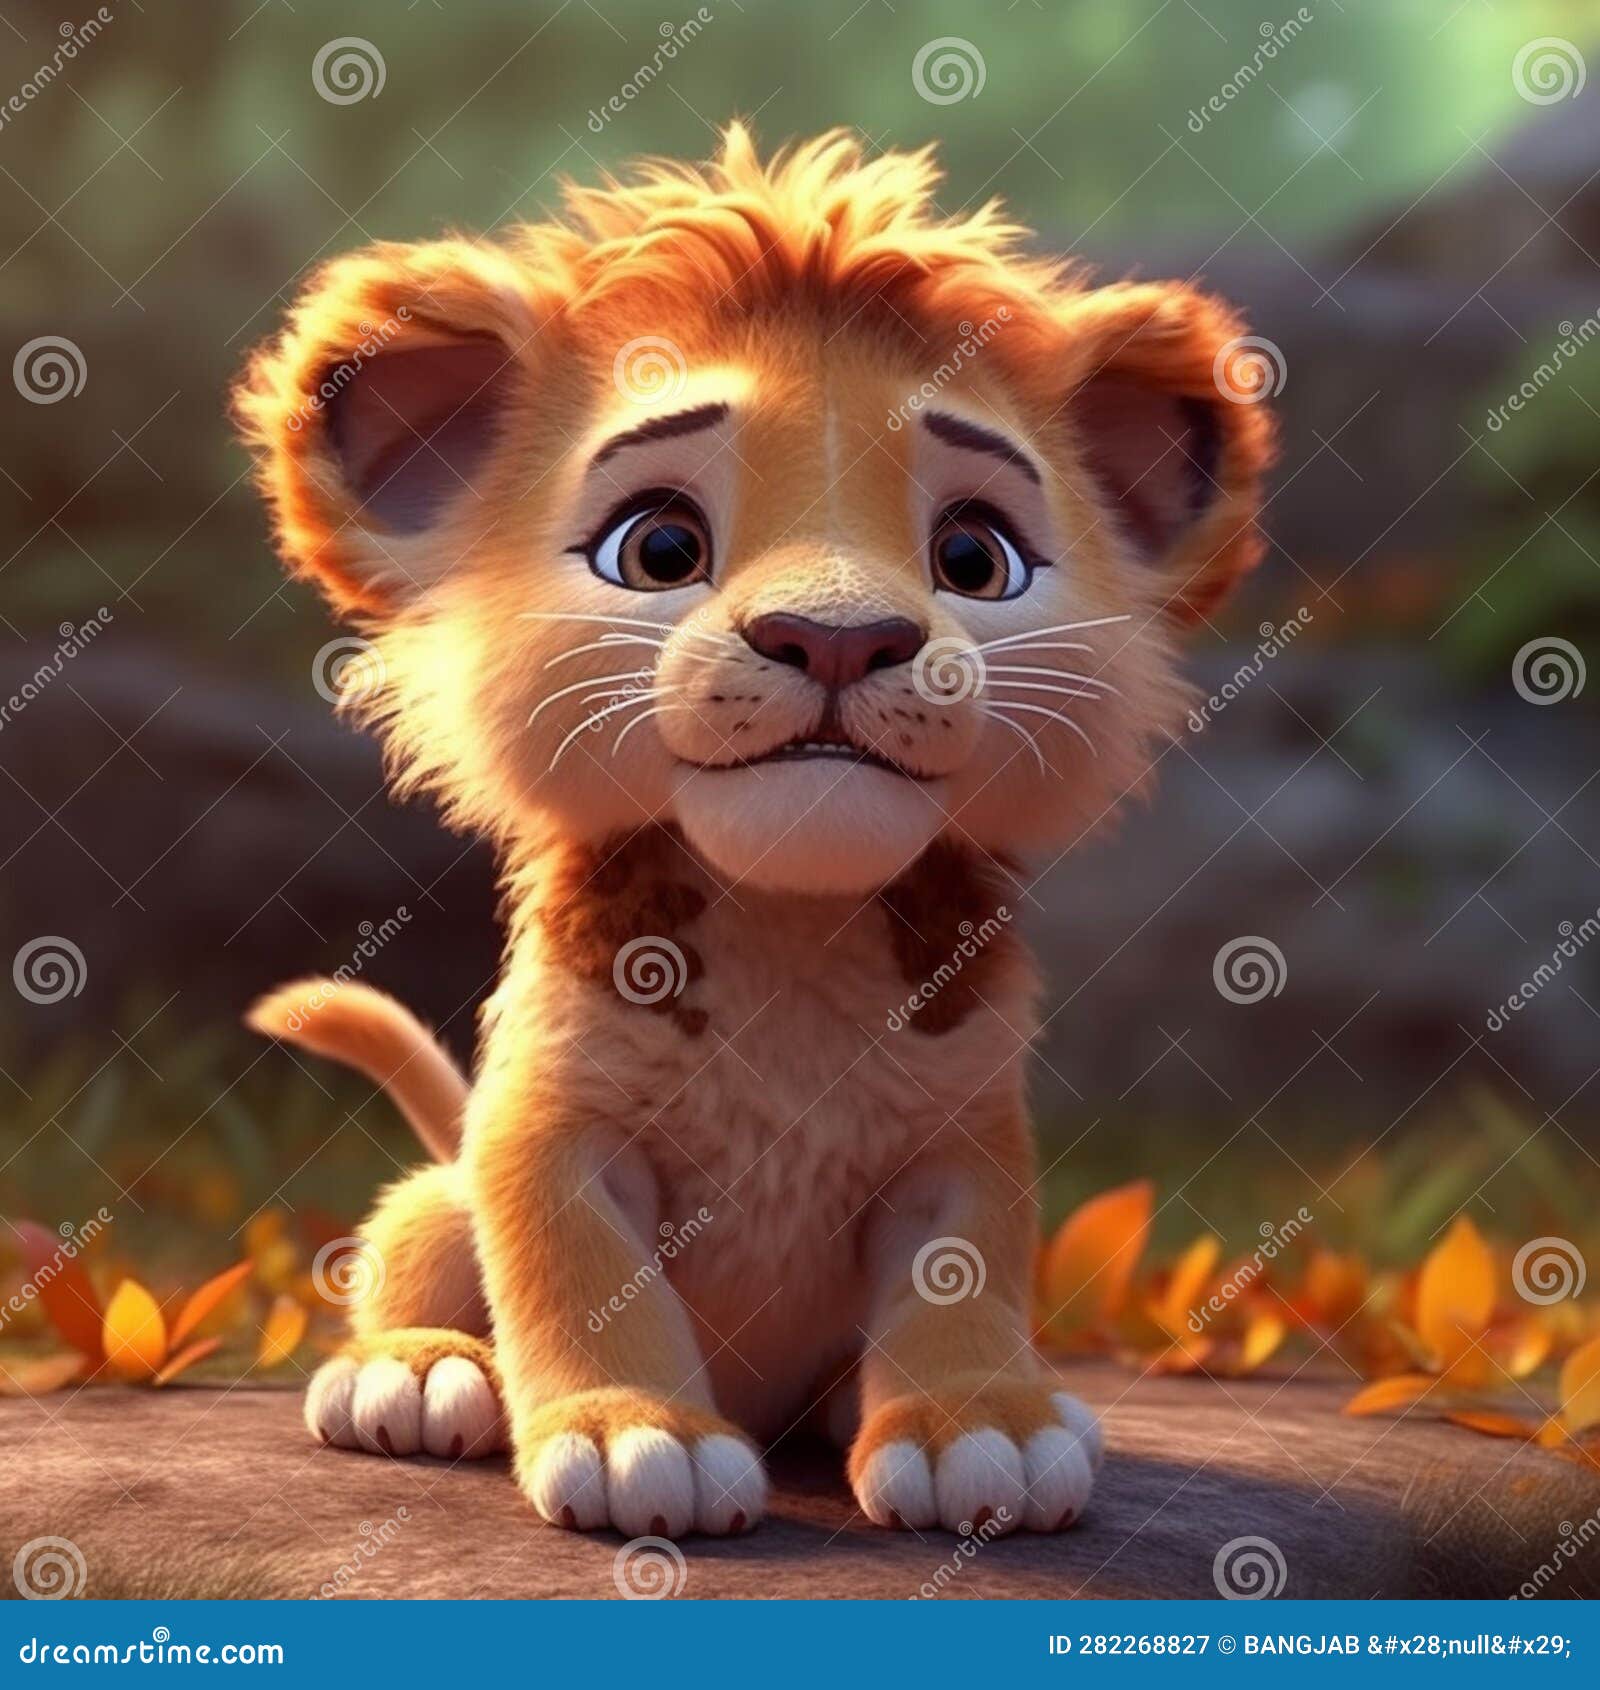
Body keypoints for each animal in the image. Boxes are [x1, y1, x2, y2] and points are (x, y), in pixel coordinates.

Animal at [233, 125, 1273, 1540]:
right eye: (660, 546)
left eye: (975, 557)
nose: (835, 635)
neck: (790, 922)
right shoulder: (554, 1125)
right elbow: (579, 1275)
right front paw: (634, 1441)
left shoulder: (959, 1138)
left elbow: (957, 1280)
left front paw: (982, 1432)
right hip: (438, 1204)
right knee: (413, 1251)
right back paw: (414, 1376)